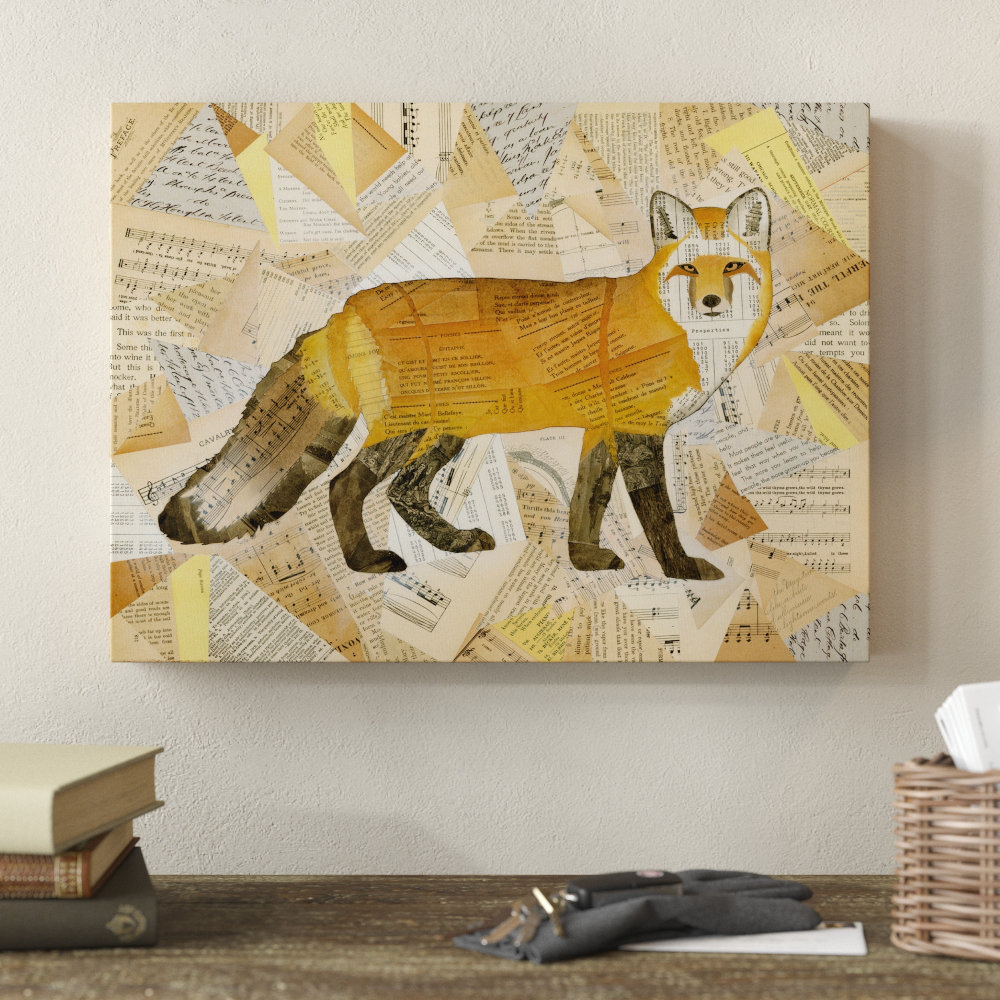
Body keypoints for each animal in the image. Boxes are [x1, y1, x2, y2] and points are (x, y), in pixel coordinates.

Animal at [158, 188, 772, 581]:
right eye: (689, 269)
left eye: (733, 267)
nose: (711, 302)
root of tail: (348, 306)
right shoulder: (637, 427)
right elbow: (657, 513)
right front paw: (682, 571)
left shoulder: (602, 428)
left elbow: (586, 501)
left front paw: (583, 560)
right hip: (409, 429)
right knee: (344, 486)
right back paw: (366, 564)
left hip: (449, 429)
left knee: (404, 492)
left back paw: (452, 542)